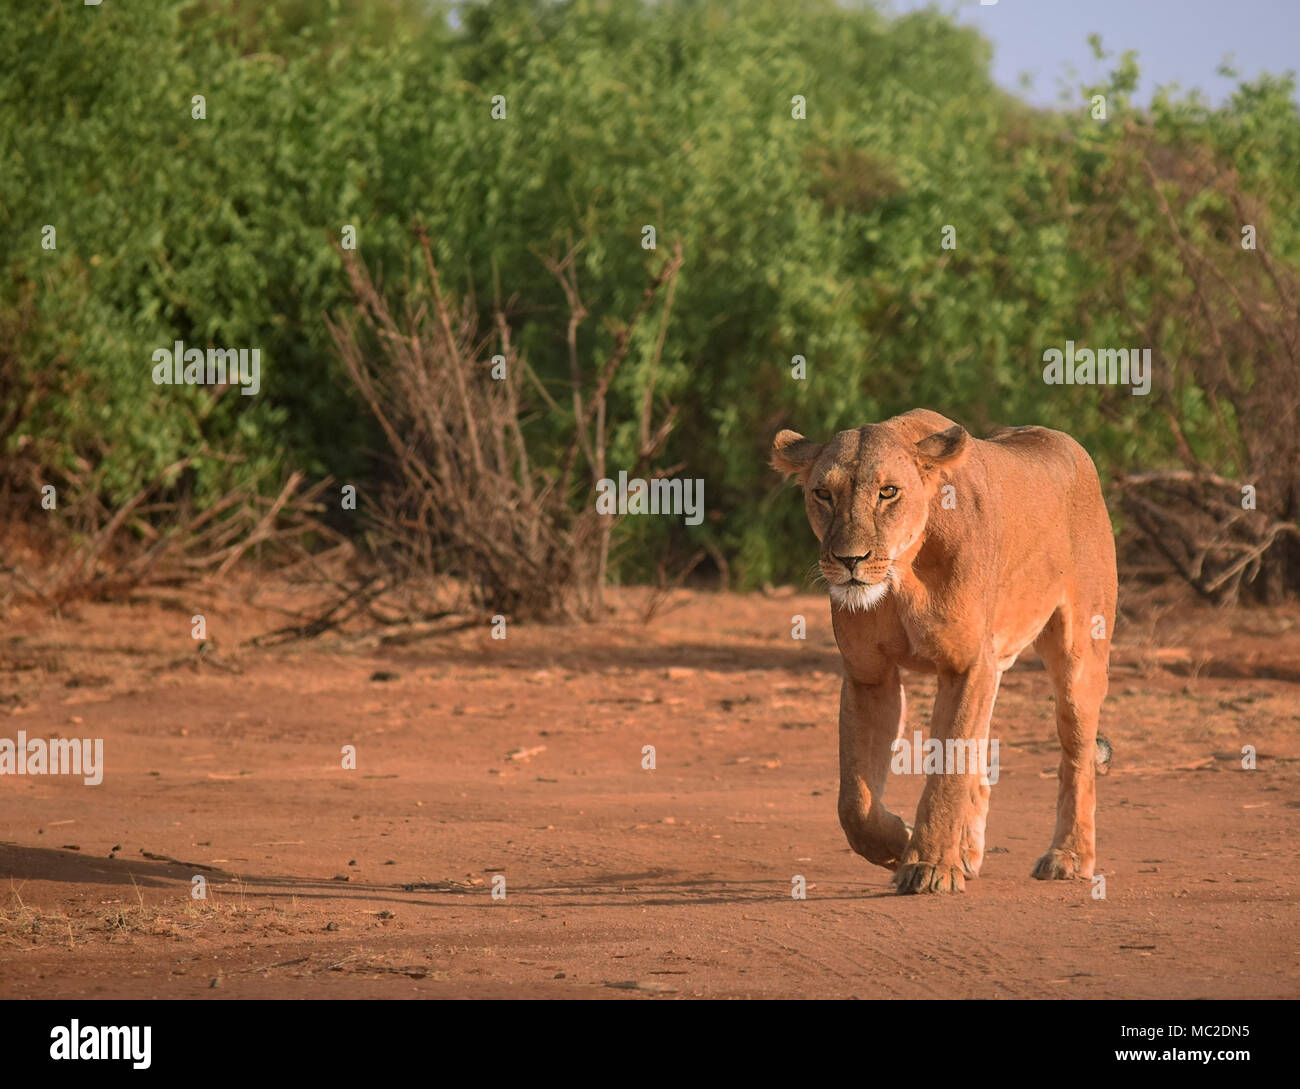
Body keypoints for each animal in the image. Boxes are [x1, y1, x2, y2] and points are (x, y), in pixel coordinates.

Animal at [771, 408, 1116, 894]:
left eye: (888, 492)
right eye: (823, 493)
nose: (849, 560)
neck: (902, 575)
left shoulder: (968, 665)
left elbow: (948, 768)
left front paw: (930, 864)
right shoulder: (868, 673)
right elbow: (854, 800)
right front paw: (900, 842)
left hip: (1079, 657)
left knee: (1077, 760)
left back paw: (1067, 858)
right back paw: (967, 852)